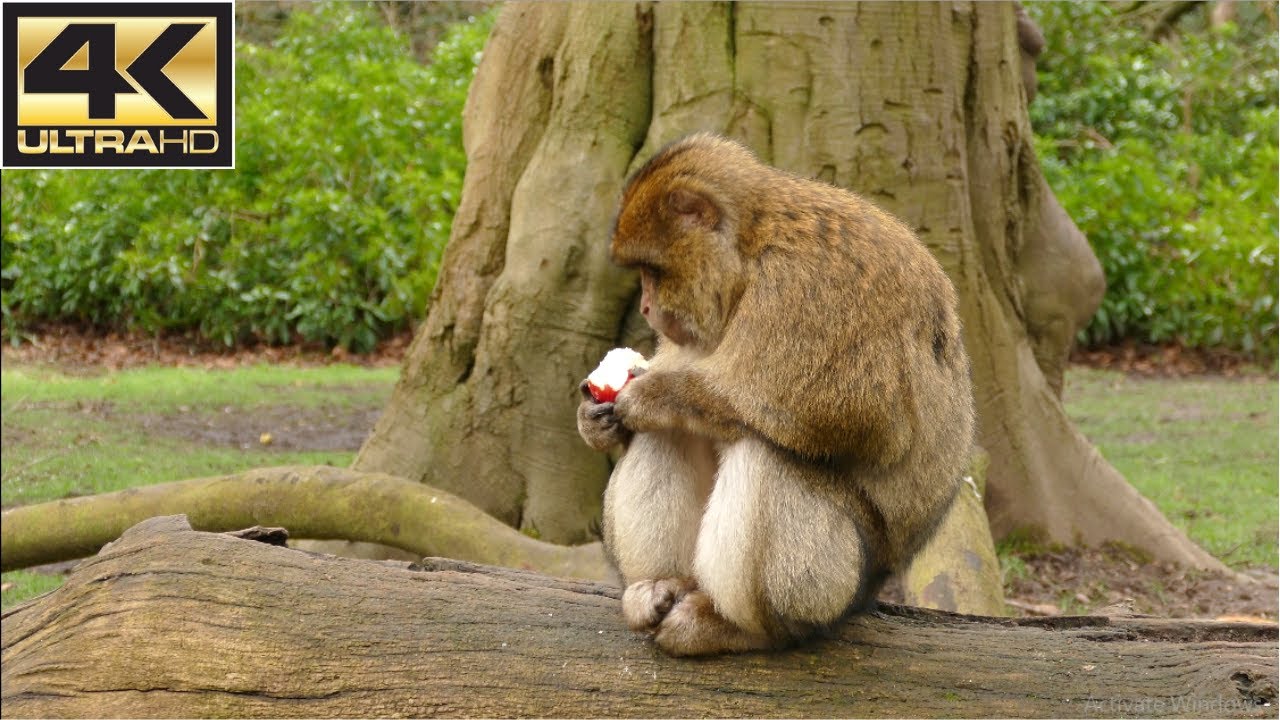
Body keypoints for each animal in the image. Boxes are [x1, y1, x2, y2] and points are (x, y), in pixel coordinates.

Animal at [576, 133, 975, 656]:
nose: (645, 306)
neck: (752, 248)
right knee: (669, 436)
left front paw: (654, 396)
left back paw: (740, 628)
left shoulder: (804, 286)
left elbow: (858, 418)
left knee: (764, 454)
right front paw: (596, 421)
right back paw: (659, 586)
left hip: (837, 585)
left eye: (652, 271)